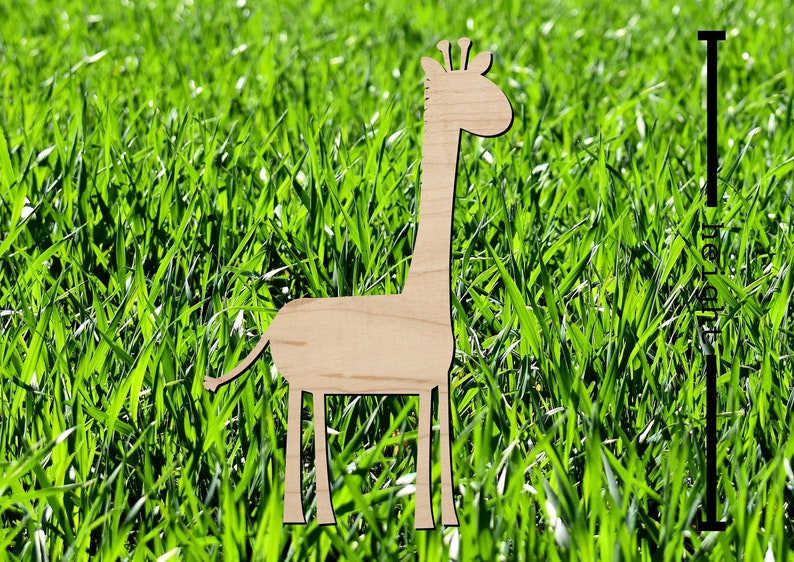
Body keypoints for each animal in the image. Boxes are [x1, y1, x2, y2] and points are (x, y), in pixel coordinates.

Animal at [203, 37, 513, 529]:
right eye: (469, 89)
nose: (505, 117)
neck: (422, 298)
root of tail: (274, 321)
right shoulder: (420, 382)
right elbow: (424, 450)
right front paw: (424, 523)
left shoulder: (437, 381)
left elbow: (442, 448)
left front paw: (448, 519)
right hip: (304, 380)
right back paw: (308, 517)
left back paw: (316, 516)